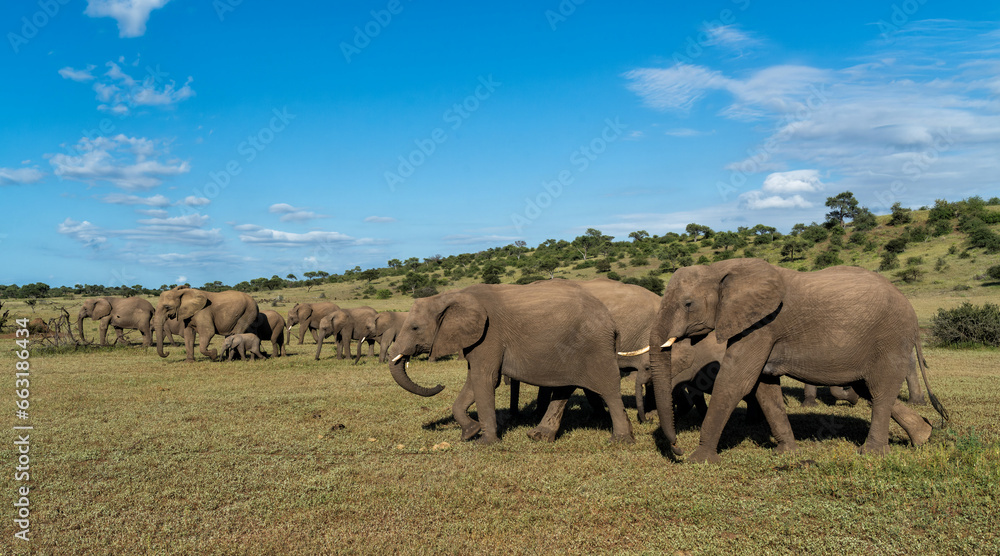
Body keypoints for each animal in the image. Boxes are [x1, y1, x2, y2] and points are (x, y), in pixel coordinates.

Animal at [387, 282, 634, 445]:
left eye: (415, 328)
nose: (440, 385)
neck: (451, 296)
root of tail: (611, 322)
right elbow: (474, 381)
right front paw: (470, 432)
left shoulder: (489, 334)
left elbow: (485, 379)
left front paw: (485, 443)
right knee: (565, 388)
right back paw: (539, 437)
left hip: (594, 346)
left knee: (609, 388)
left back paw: (621, 441)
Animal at [649, 258, 948, 463]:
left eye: (688, 304)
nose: (676, 448)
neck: (722, 268)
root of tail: (911, 311)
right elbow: (764, 387)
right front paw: (786, 454)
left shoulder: (763, 325)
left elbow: (736, 382)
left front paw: (699, 460)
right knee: (869, 389)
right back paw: (923, 436)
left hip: (890, 338)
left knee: (880, 391)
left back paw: (872, 454)